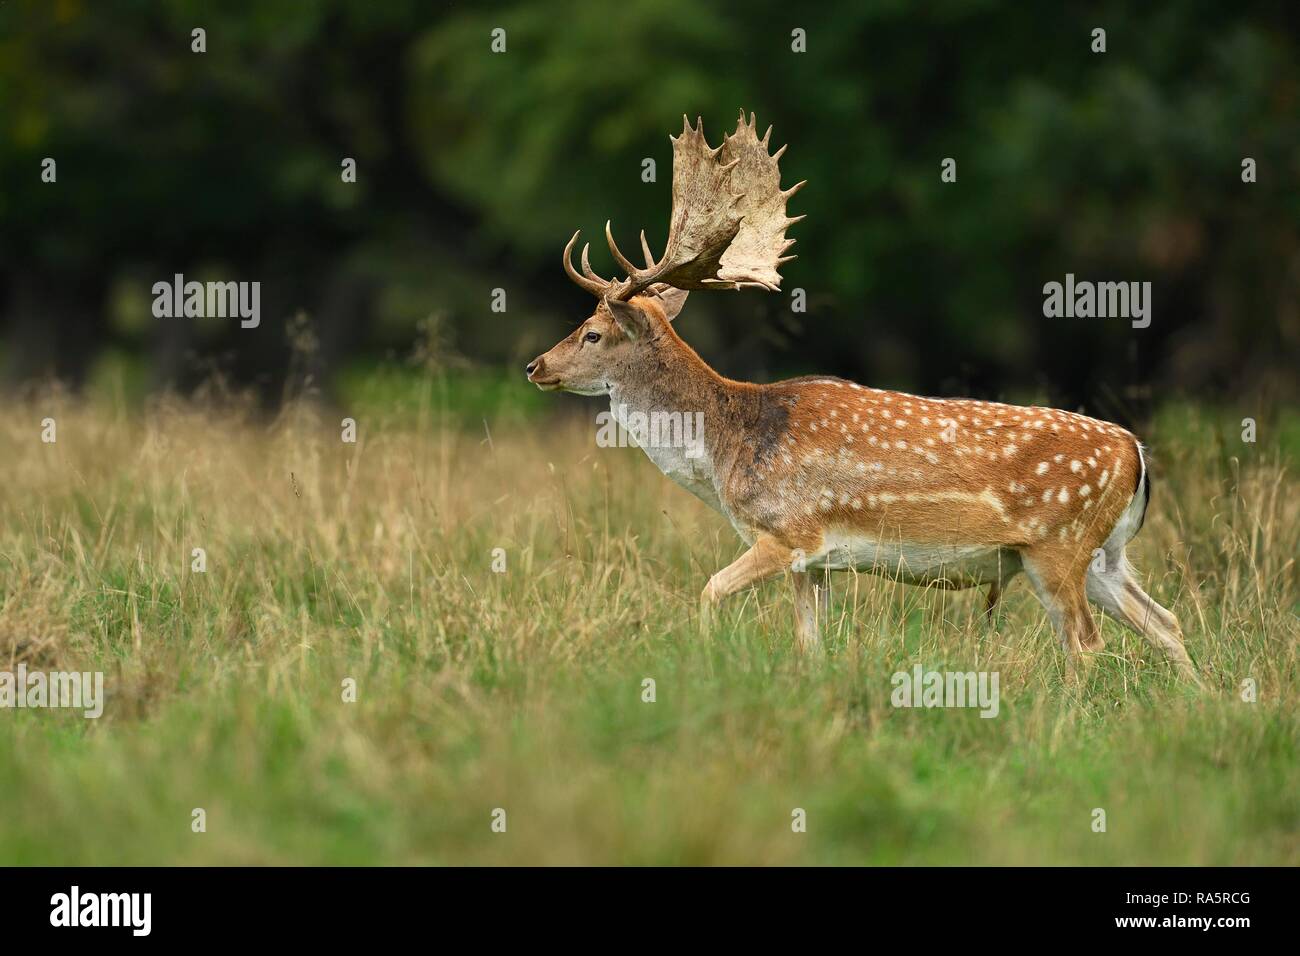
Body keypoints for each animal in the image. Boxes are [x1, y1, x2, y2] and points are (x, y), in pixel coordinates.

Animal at [526, 110, 1200, 685]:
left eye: (592, 332)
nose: (536, 366)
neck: (725, 451)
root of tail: (1137, 453)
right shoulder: (815, 562)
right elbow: (808, 645)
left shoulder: (788, 532)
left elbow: (709, 590)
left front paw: (707, 661)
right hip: (1103, 555)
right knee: (1164, 621)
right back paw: (1198, 702)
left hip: (1056, 545)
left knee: (1086, 645)